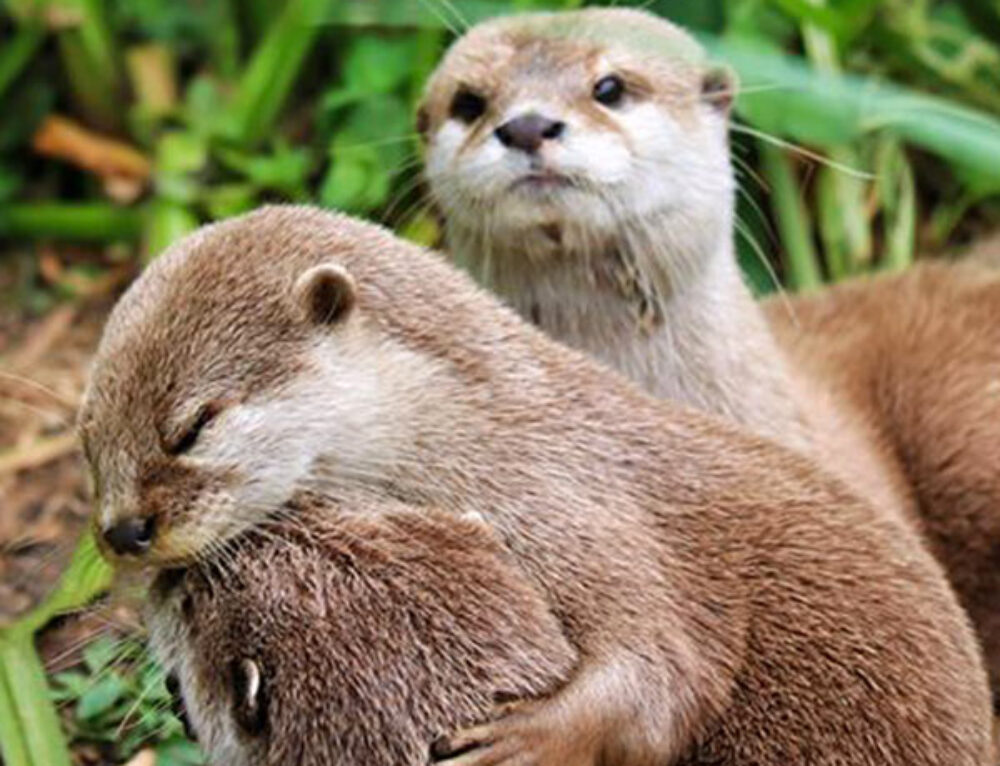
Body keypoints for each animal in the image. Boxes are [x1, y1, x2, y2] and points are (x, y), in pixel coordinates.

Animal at [82, 206, 990, 764]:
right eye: (89, 439)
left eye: (192, 427)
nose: (124, 532)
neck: (491, 441)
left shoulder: (583, 510)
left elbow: (669, 662)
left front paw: (524, 739)